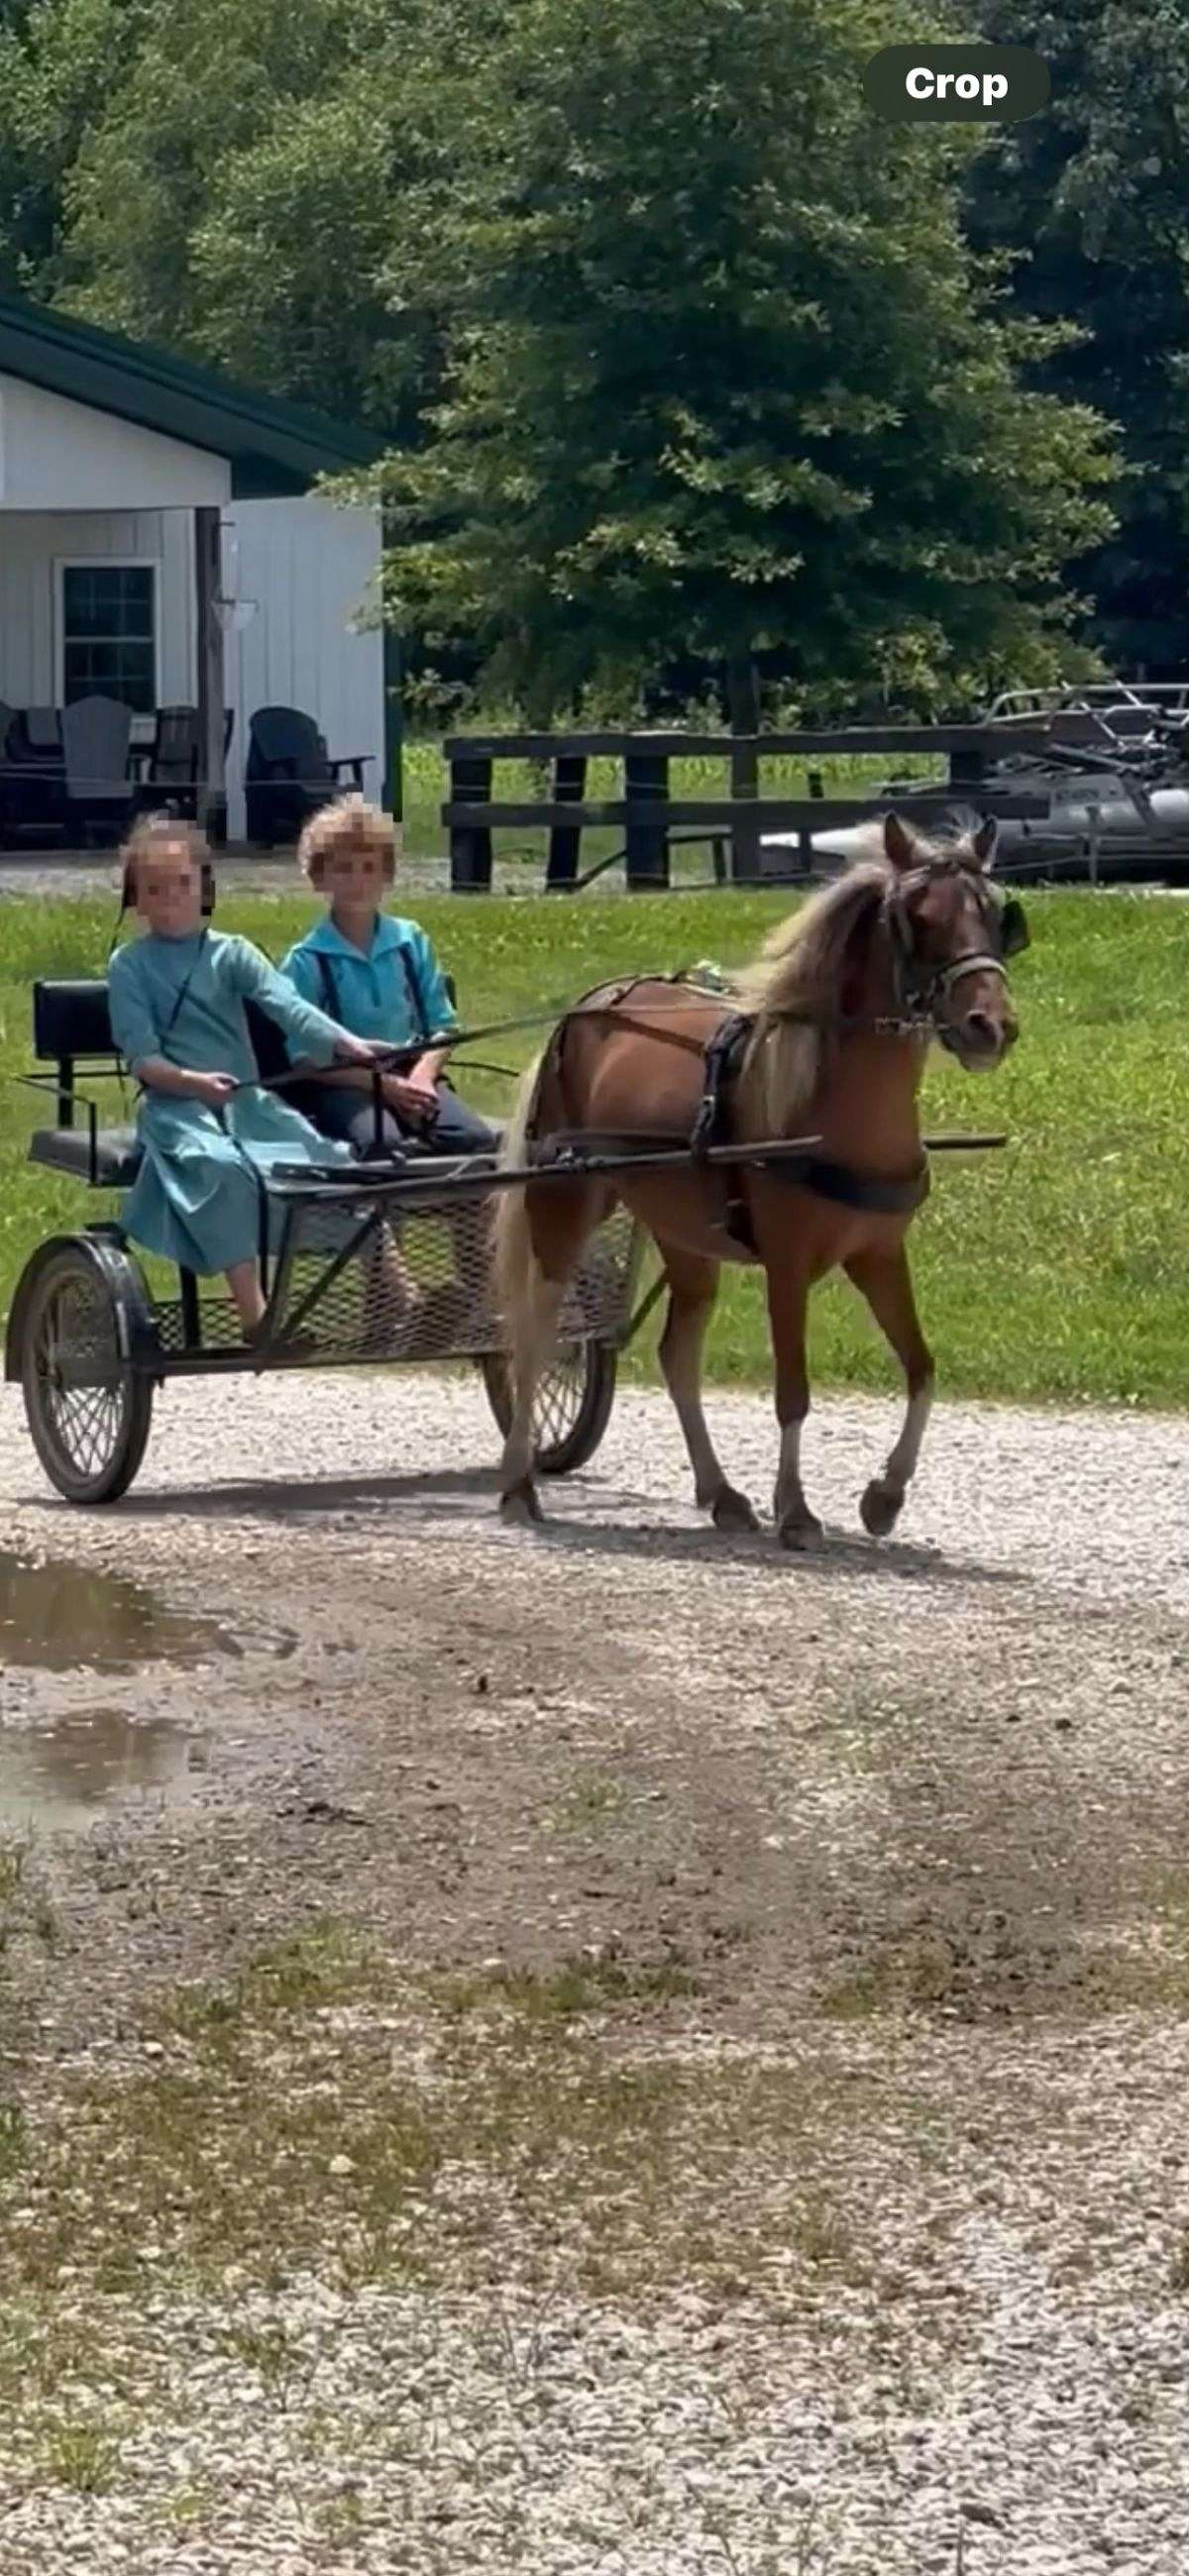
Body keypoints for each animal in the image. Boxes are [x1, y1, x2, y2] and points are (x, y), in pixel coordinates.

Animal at [493, 810, 1028, 1545]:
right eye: (919, 915)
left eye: (997, 913)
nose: (990, 1026)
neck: (832, 1104)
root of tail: (591, 1004)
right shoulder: (787, 1263)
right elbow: (792, 1391)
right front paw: (796, 1508)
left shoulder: (879, 1254)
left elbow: (922, 1369)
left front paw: (884, 1495)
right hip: (565, 1200)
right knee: (535, 1338)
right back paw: (519, 1482)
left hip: (683, 1233)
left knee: (677, 1355)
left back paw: (720, 1493)